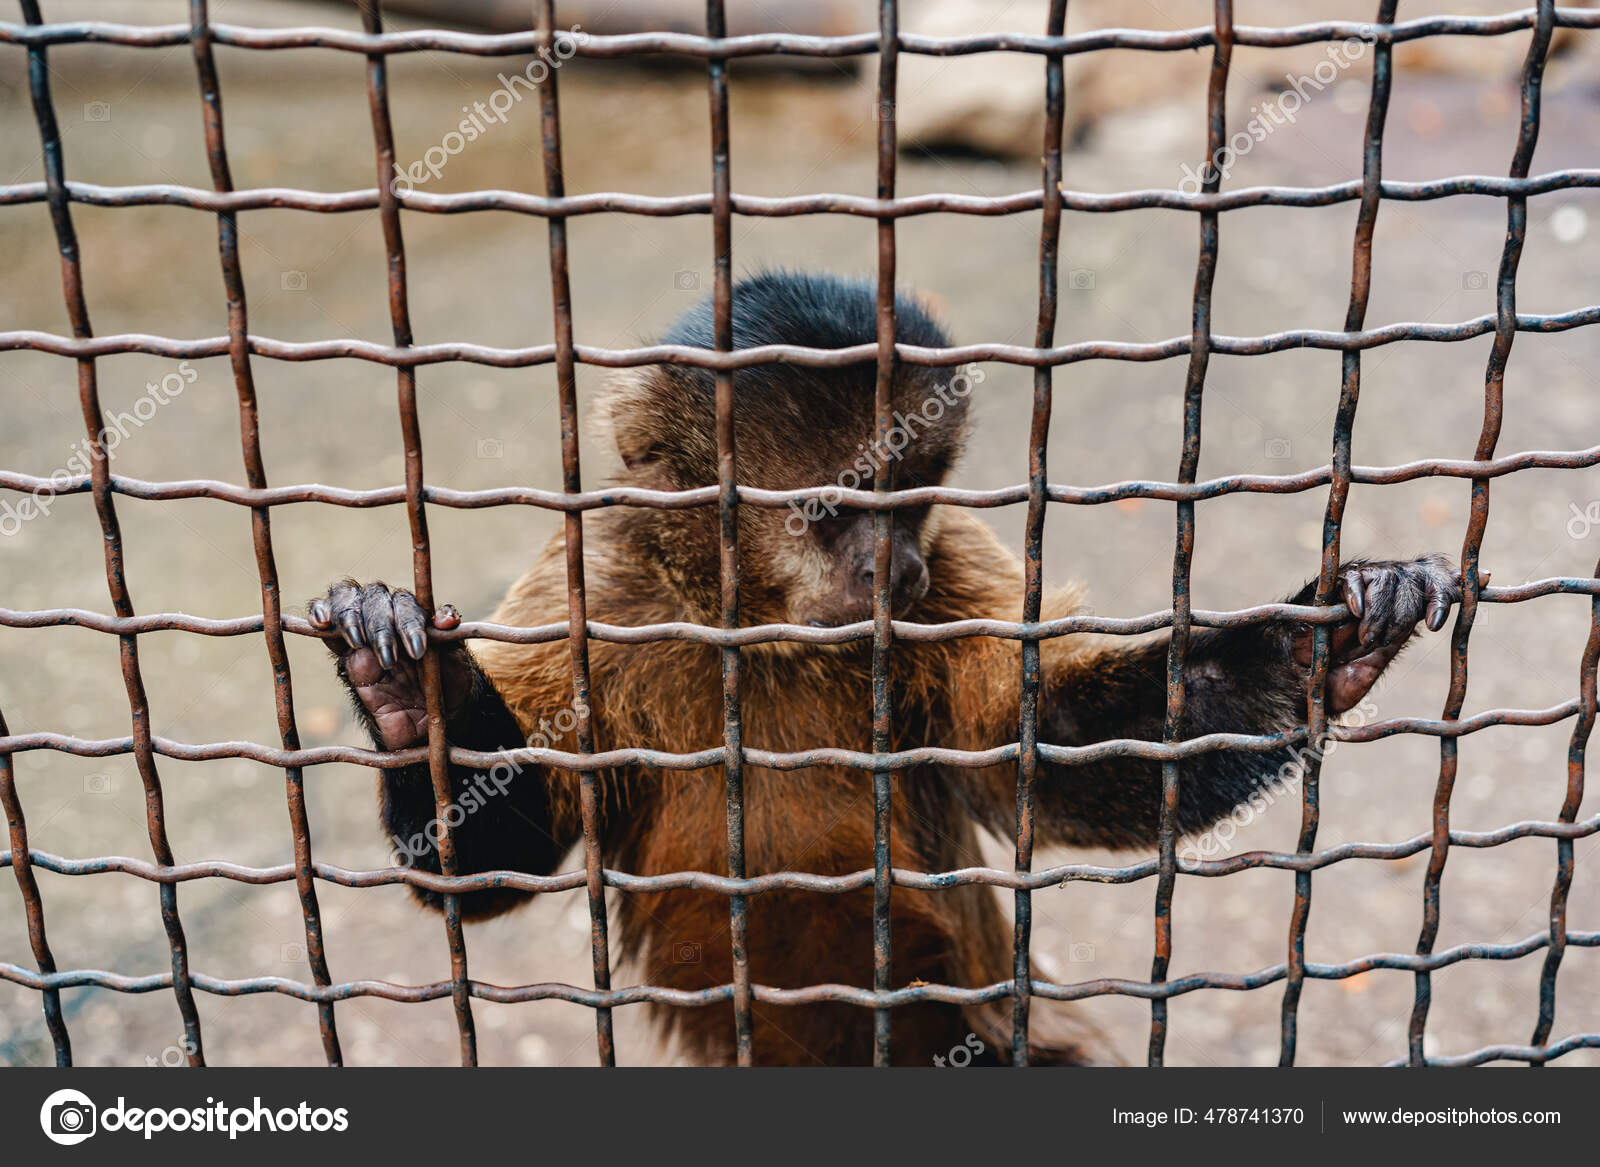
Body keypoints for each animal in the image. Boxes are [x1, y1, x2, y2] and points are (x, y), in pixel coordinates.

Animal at [309, 270, 1459, 1066]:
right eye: (831, 512)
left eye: (910, 499)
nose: (892, 566)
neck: (760, 631)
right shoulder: (602, 581)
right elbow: (489, 854)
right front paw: (408, 695)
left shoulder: (945, 574)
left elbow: (1049, 758)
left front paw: (1321, 645)